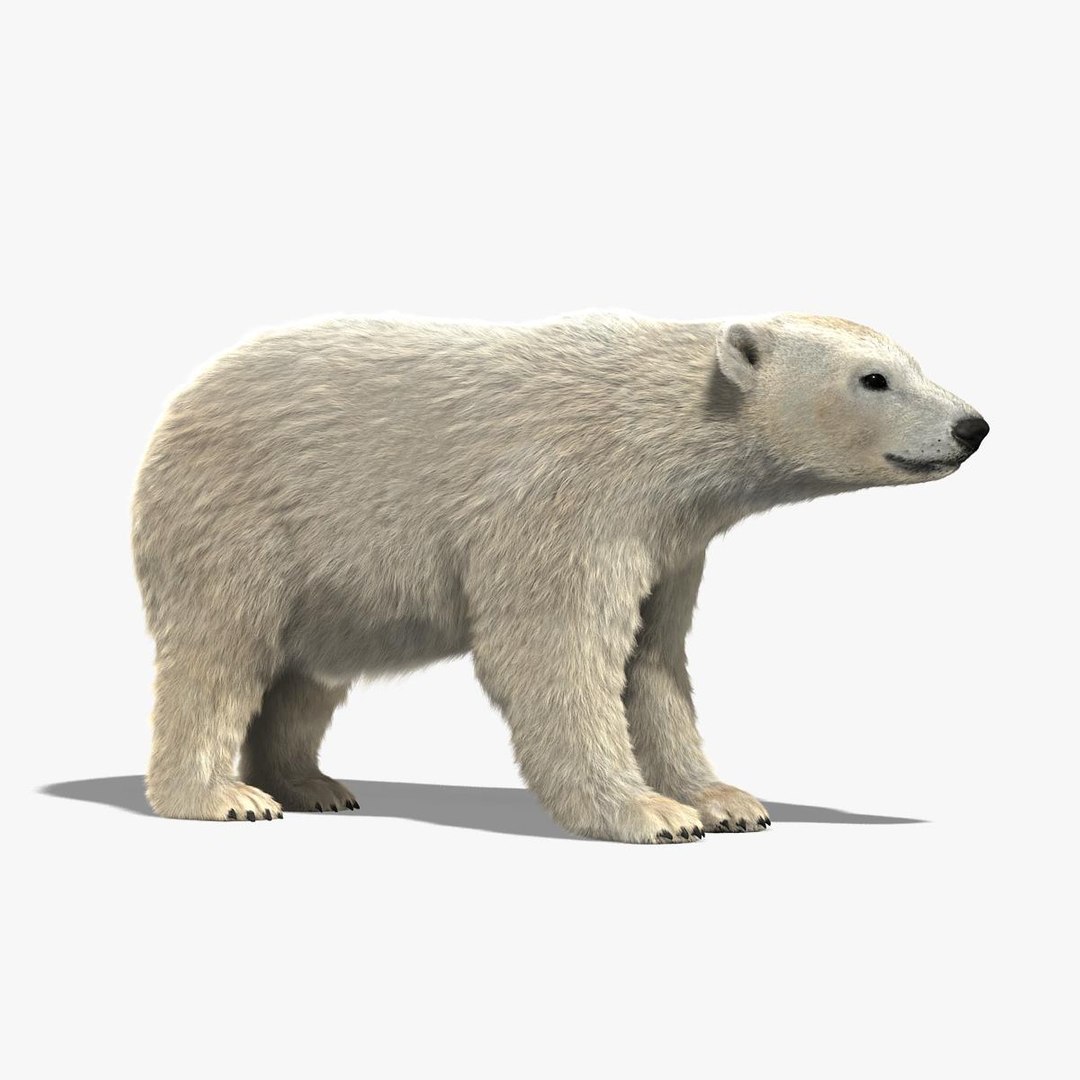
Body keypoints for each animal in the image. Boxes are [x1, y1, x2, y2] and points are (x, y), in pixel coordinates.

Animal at [131, 310, 989, 842]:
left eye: (914, 362)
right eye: (874, 378)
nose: (972, 425)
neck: (657, 431)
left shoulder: (670, 542)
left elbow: (653, 664)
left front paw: (725, 801)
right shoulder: (566, 499)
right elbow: (557, 652)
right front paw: (647, 813)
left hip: (331, 585)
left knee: (306, 676)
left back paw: (312, 785)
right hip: (241, 519)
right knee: (221, 651)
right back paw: (222, 797)